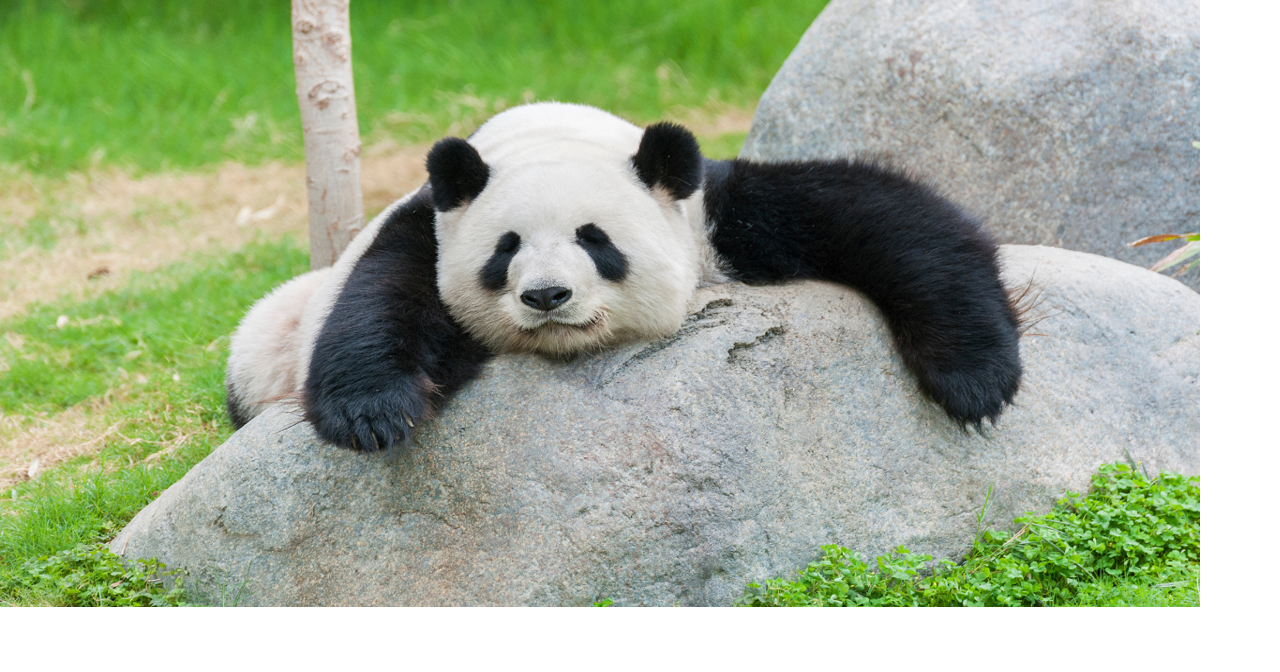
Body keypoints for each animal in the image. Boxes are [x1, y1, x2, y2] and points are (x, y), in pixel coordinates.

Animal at [225, 102, 1022, 452]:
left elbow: (884, 218)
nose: (547, 296)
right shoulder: (426, 226)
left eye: (596, 240)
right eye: (505, 250)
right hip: (264, 343)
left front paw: (975, 381)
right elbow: (380, 298)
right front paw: (374, 412)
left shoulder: (713, 214)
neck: (546, 133)